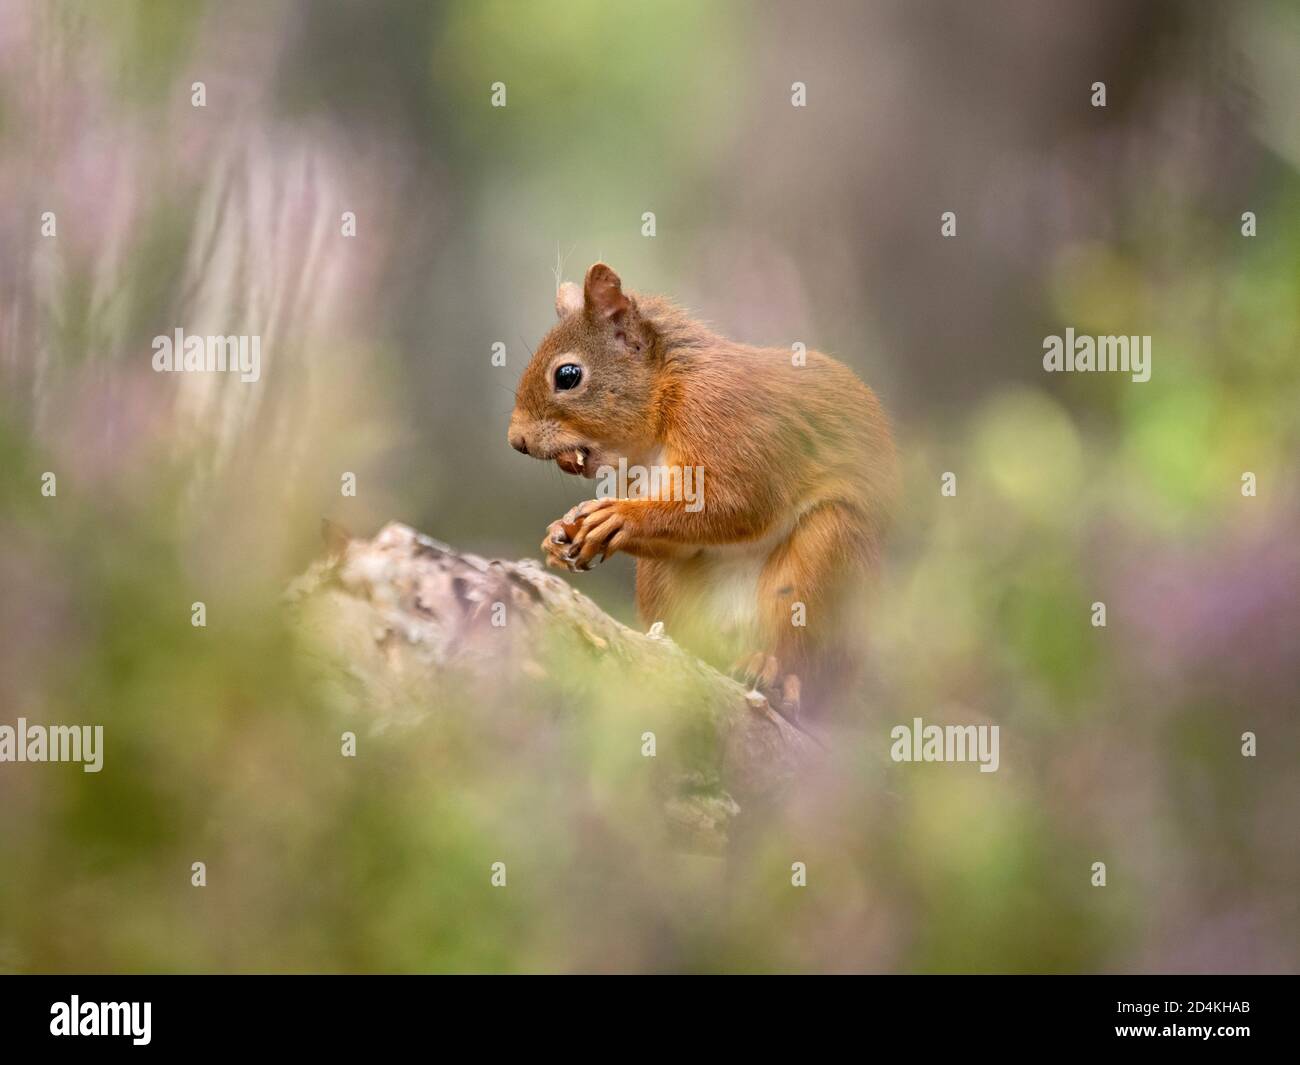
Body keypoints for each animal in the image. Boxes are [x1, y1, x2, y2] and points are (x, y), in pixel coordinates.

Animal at [508, 263, 897, 720]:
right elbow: (684, 538)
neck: (666, 400)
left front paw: (620, 515)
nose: (516, 440)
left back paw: (774, 672)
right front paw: (560, 532)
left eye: (567, 376)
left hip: (831, 557)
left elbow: (741, 503)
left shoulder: (724, 417)